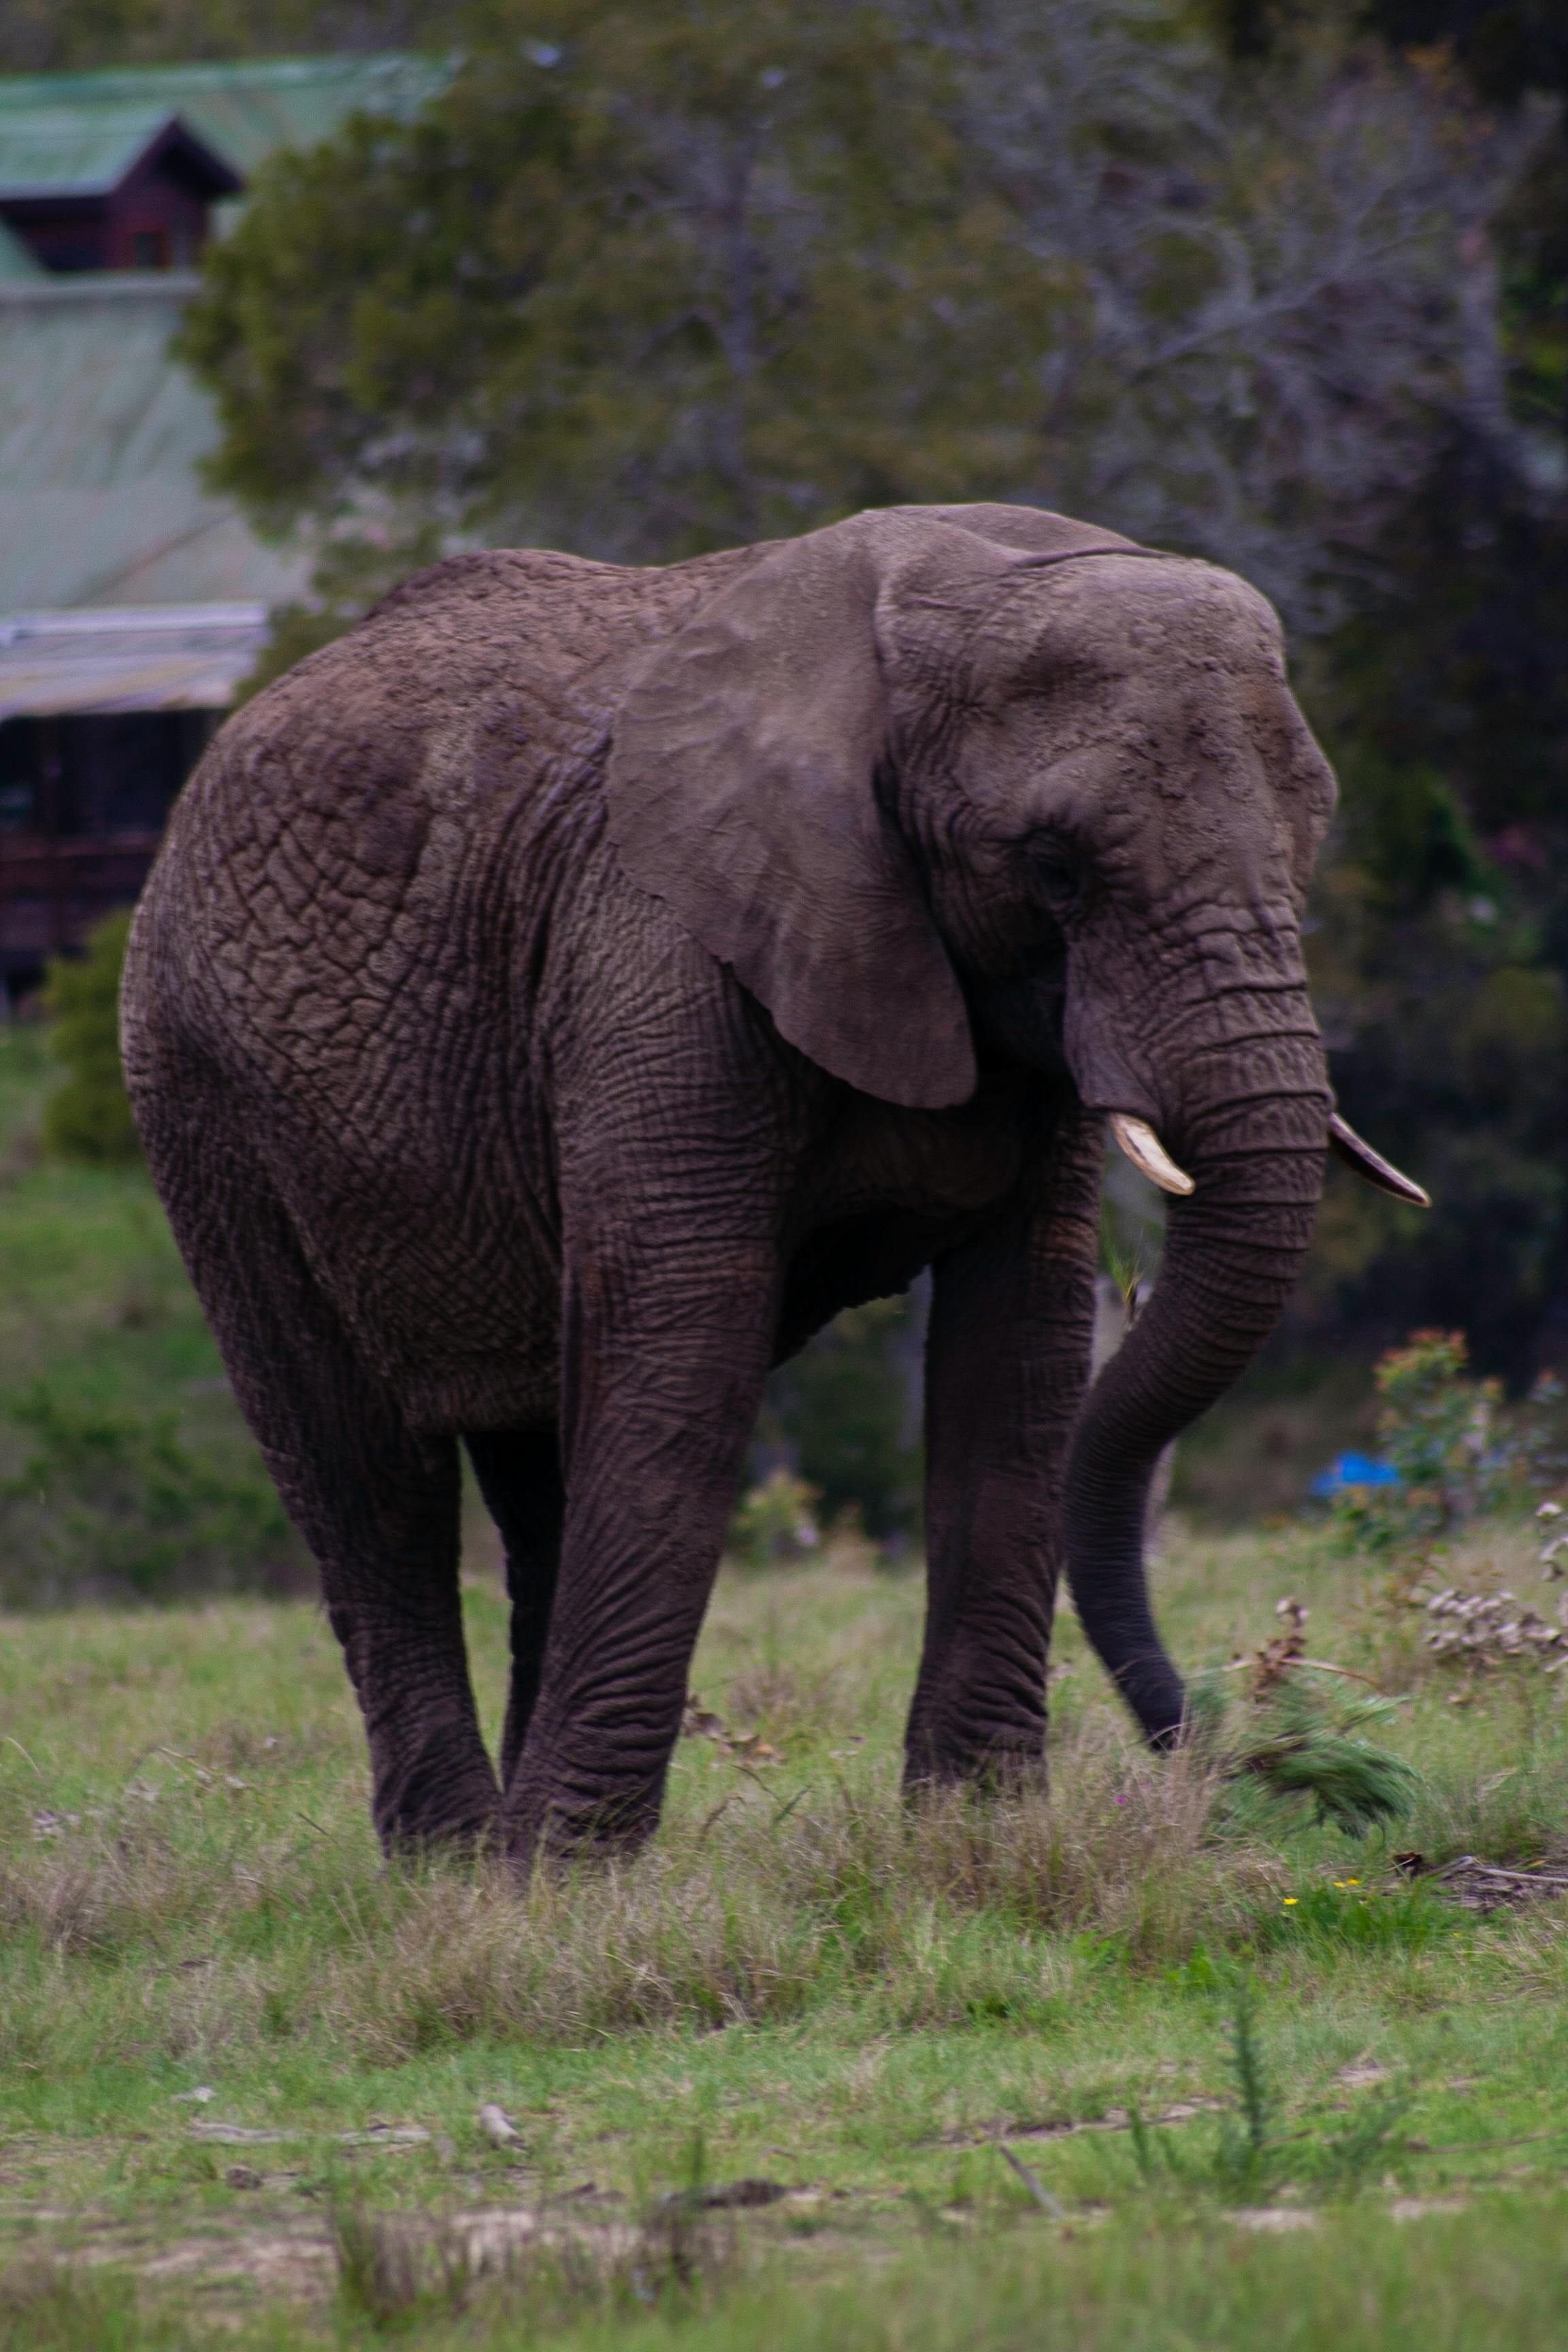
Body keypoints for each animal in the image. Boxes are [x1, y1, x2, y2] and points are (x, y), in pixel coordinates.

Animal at [121, 501, 1424, 1861]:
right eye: (1056, 867)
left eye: (1311, 839)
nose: (1280, 1764)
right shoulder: (651, 940)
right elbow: (684, 1348)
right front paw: (573, 1875)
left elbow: (1015, 1350)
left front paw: (973, 1835)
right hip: (201, 1095)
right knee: (368, 1482)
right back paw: (460, 1863)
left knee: (536, 1475)